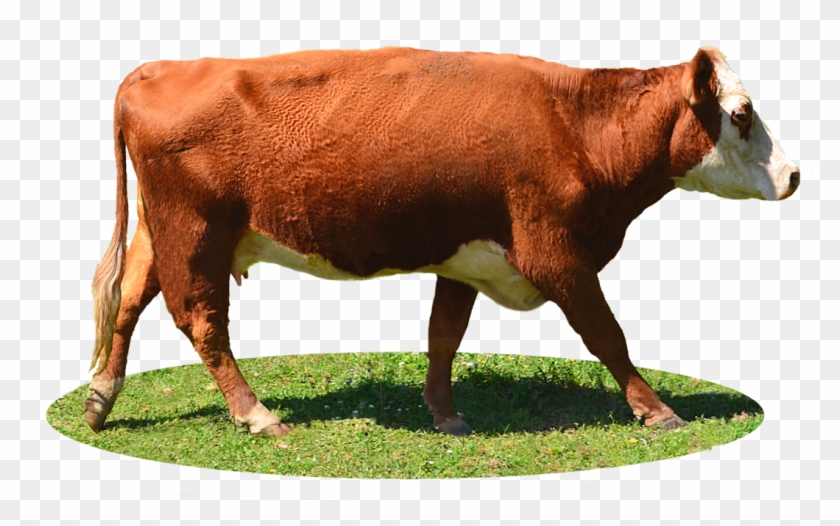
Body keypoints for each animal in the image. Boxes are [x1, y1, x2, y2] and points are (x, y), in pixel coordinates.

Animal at [84, 47, 799, 437]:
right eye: (741, 113)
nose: (794, 174)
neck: (577, 126)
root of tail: (157, 69)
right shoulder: (555, 252)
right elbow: (607, 335)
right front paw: (657, 410)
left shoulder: (464, 257)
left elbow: (443, 334)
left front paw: (444, 414)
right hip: (196, 231)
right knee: (202, 322)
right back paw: (256, 414)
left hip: (164, 231)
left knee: (128, 300)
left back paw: (100, 399)